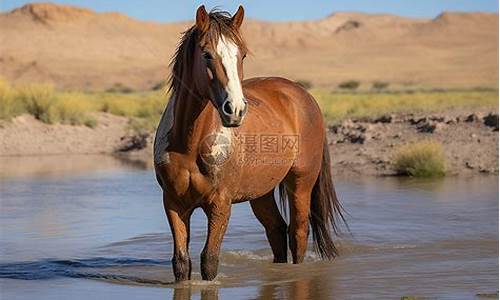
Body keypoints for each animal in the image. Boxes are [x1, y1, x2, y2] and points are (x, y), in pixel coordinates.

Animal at [154, 4, 346, 282]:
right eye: (207, 54)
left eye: (242, 55)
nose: (235, 110)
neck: (188, 143)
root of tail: (303, 96)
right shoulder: (174, 203)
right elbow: (181, 264)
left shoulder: (220, 204)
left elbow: (209, 261)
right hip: (262, 193)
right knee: (277, 231)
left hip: (301, 183)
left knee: (298, 233)